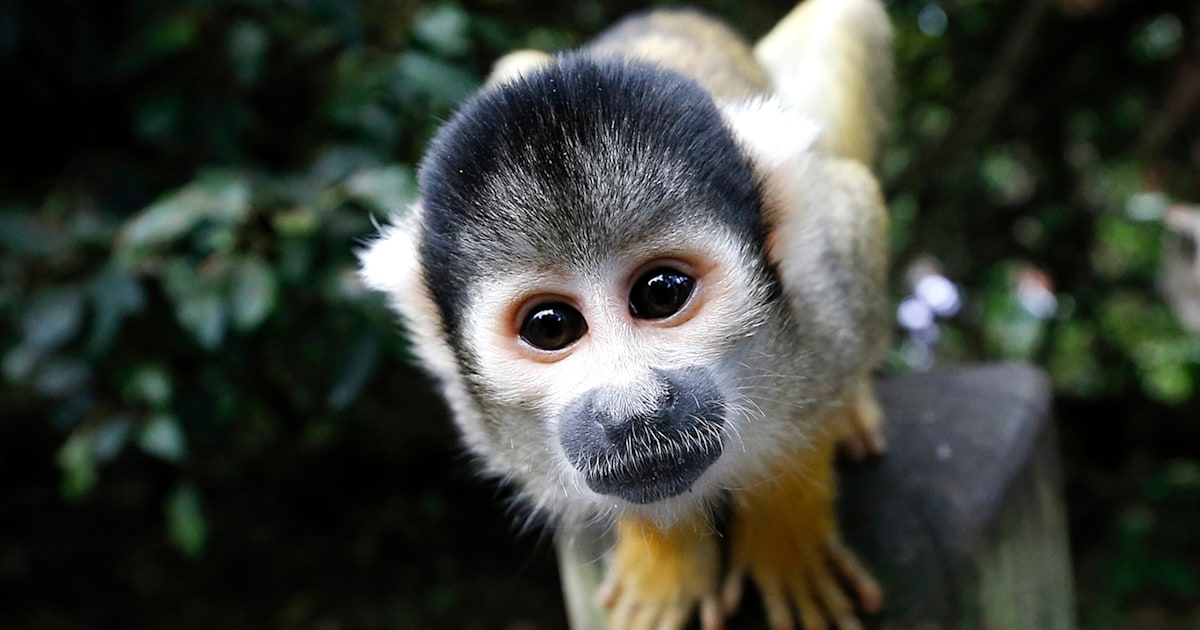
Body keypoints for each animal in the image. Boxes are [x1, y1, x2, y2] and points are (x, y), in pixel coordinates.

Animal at [358, 0, 894, 628]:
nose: (632, 413)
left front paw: (787, 535)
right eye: (550, 327)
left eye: (661, 294)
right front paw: (667, 559)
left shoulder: (829, 276)